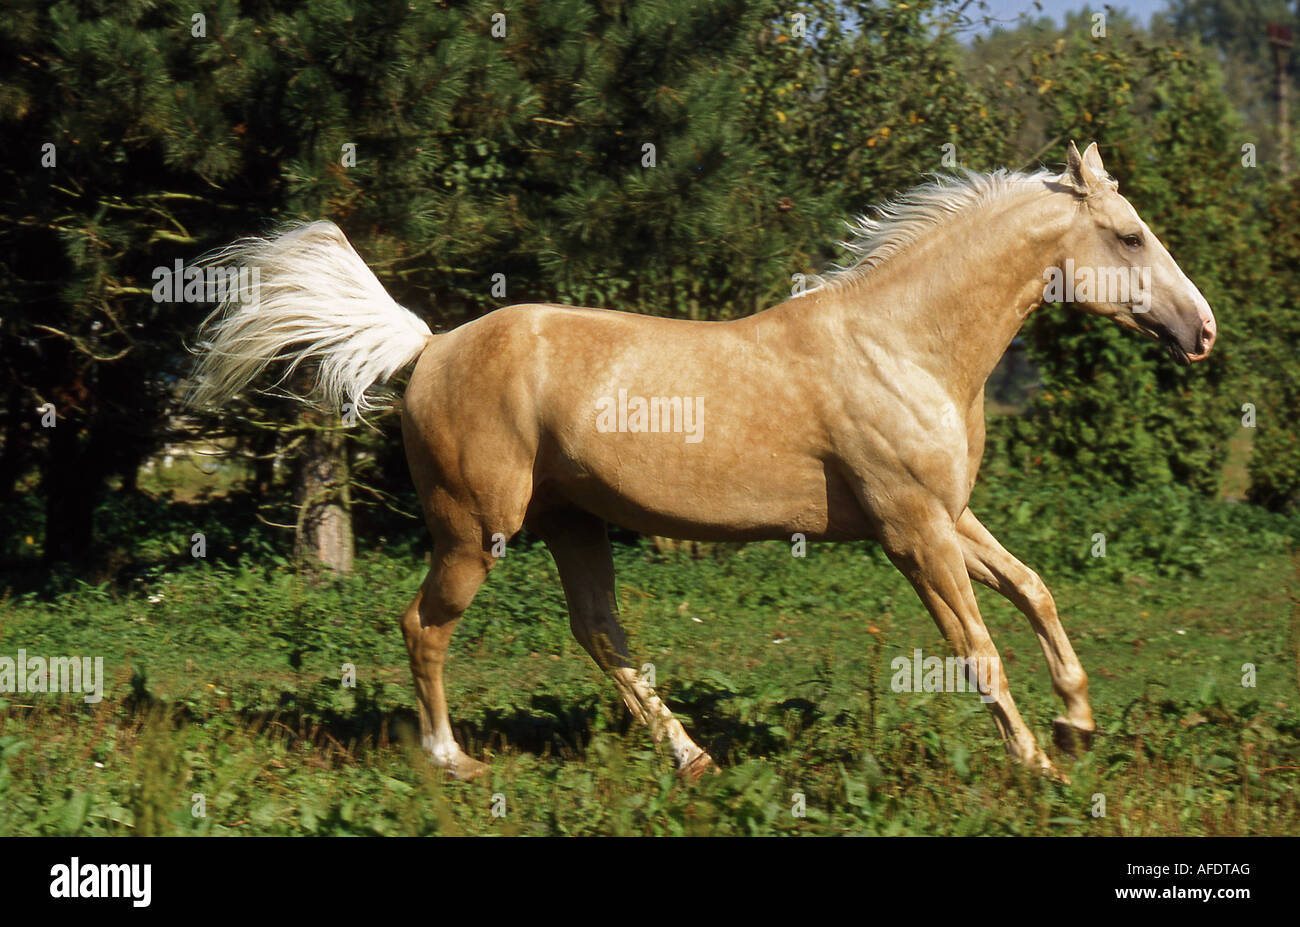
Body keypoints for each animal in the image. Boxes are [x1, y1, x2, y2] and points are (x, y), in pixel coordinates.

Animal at [188, 142, 1216, 781]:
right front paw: (1038, 764)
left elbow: (1035, 589)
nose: (1201, 331)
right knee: (423, 627)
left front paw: (1076, 724)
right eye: (1129, 236)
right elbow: (977, 648)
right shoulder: (911, 531)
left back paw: (691, 757)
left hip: (573, 524)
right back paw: (454, 760)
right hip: (476, 531)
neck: (902, 342)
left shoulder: (946, 514)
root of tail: (430, 345)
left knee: (601, 634)